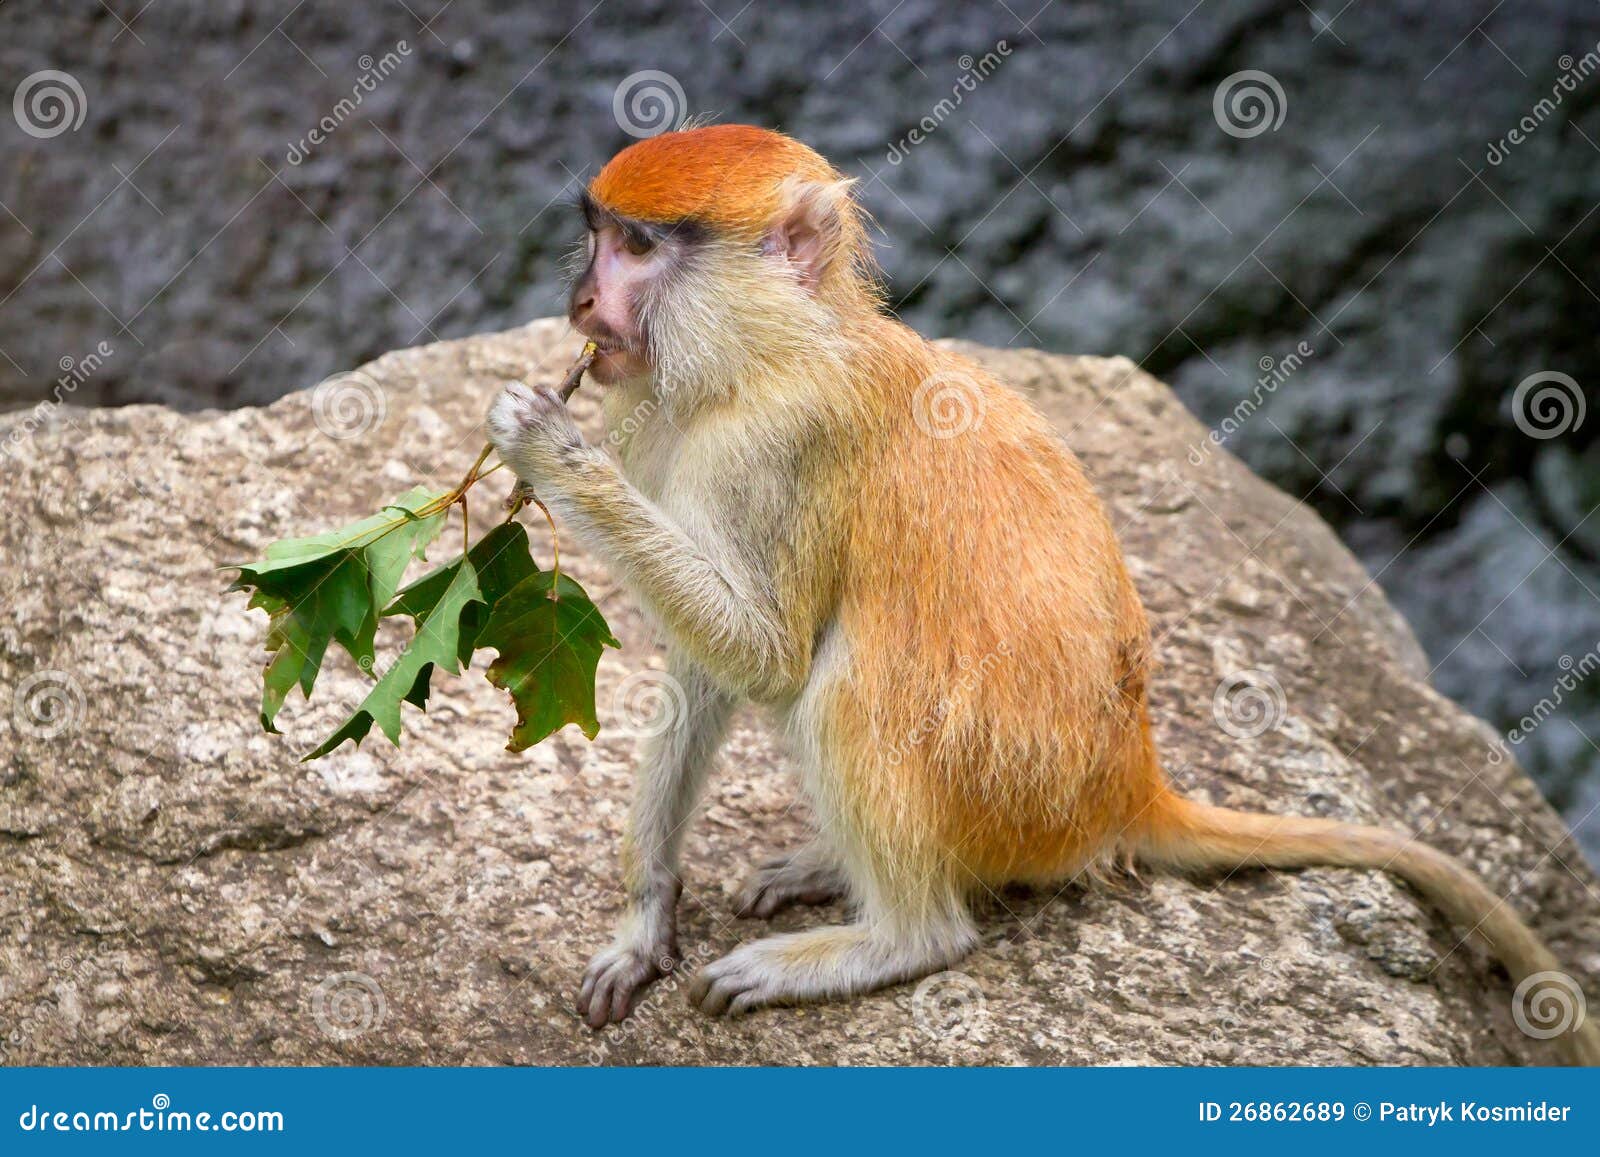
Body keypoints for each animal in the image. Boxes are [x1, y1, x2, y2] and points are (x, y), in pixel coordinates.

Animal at [485, 123, 1600, 1064]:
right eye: (600, 239)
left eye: (639, 248)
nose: (583, 306)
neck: (774, 345)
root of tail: (1127, 784)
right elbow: (705, 673)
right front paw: (644, 918)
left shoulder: (782, 442)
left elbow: (765, 652)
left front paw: (548, 444)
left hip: (1018, 777)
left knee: (849, 685)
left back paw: (898, 934)